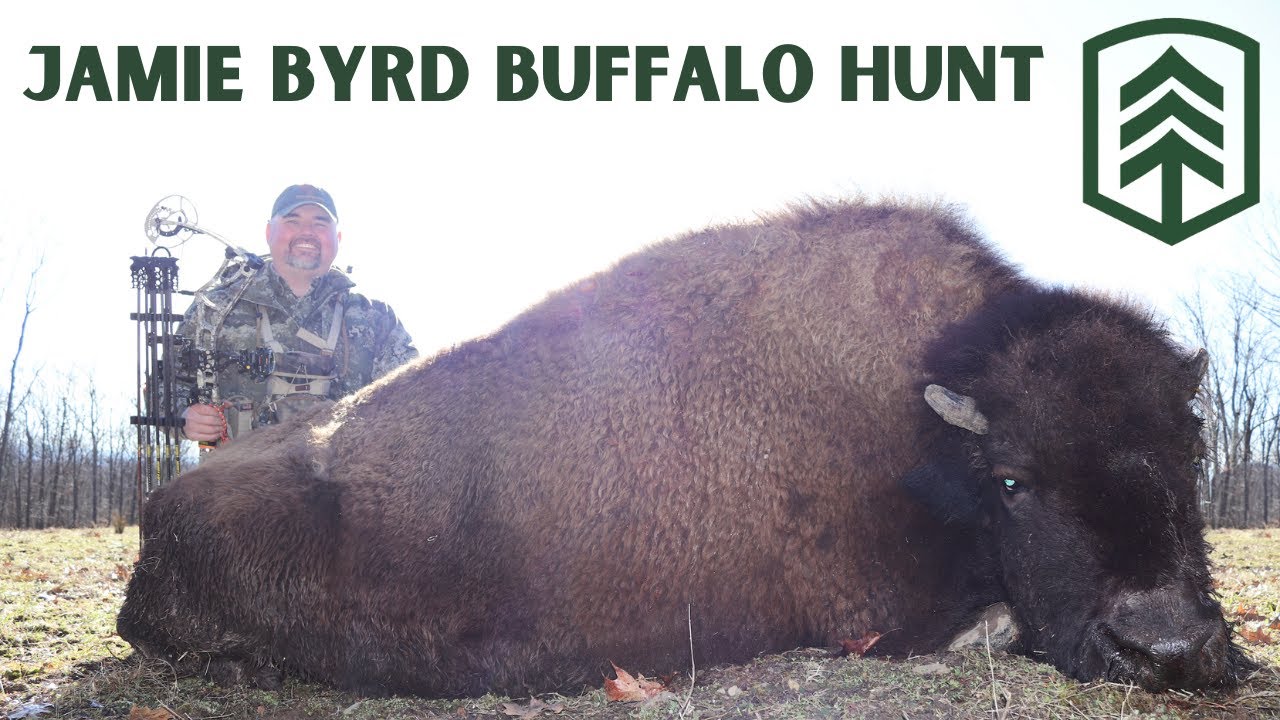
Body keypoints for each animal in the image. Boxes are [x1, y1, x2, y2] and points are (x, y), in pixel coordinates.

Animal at [117, 199, 1251, 696]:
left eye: (1188, 454)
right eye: (1014, 479)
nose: (1167, 650)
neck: (922, 421)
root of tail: (161, 511)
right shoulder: (872, 610)